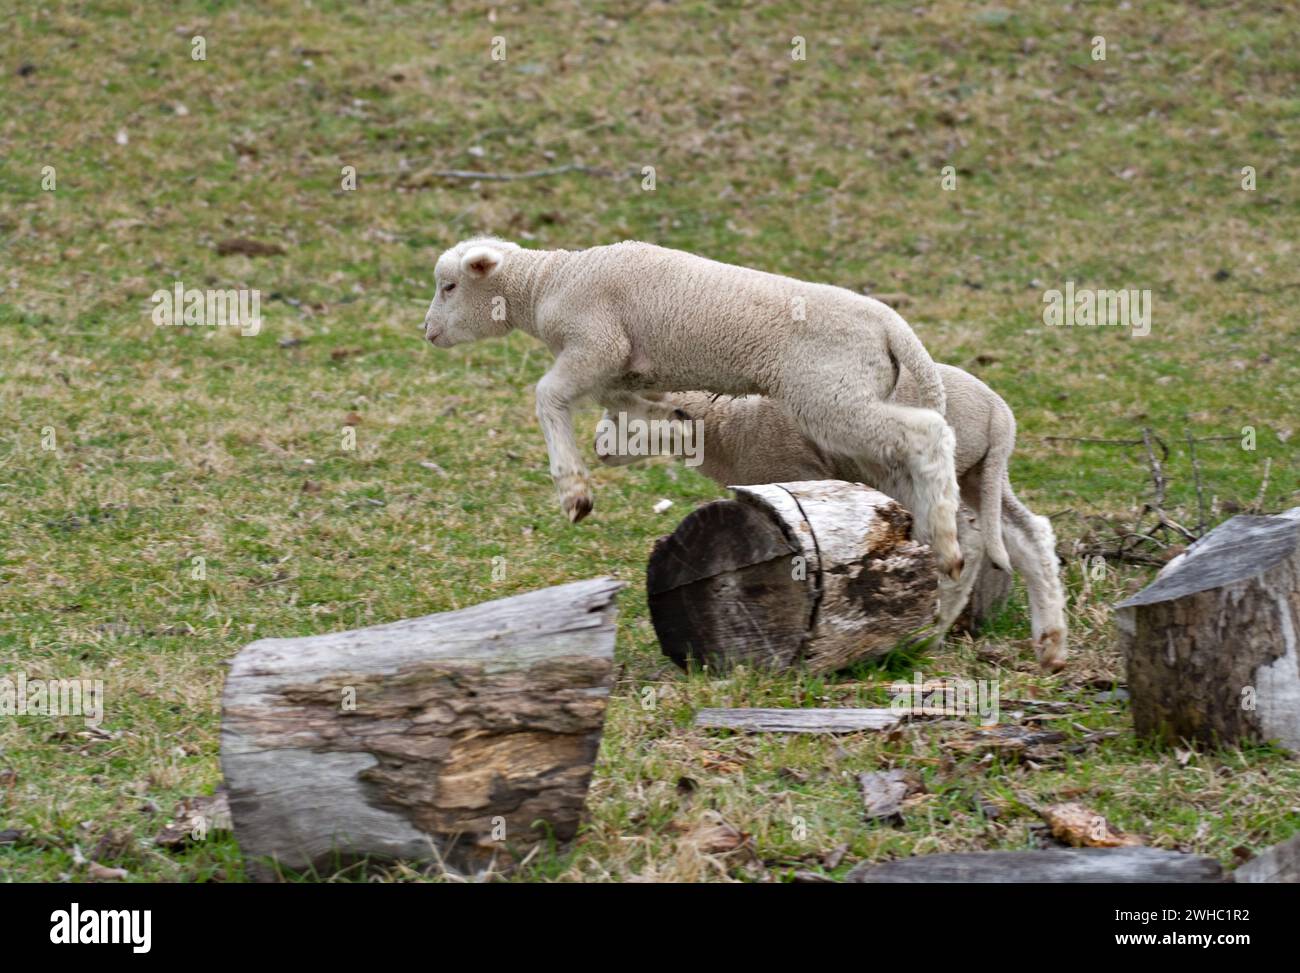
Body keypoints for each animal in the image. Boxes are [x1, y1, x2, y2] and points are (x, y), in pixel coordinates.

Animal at [422, 237, 964, 578]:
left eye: (449, 287)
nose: (426, 333)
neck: (547, 284)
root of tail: (891, 326)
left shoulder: (596, 343)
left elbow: (547, 396)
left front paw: (574, 491)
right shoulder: (622, 367)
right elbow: (623, 402)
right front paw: (672, 425)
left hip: (831, 395)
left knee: (930, 432)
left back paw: (946, 539)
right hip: (852, 397)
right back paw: (930, 537)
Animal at [593, 366, 1069, 672]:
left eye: (623, 414)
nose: (599, 449)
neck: (723, 424)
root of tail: (998, 416)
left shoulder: (797, 470)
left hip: (929, 473)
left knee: (963, 542)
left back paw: (929, 635)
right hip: (979, 476)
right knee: (1028, 535)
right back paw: (1049, 645)